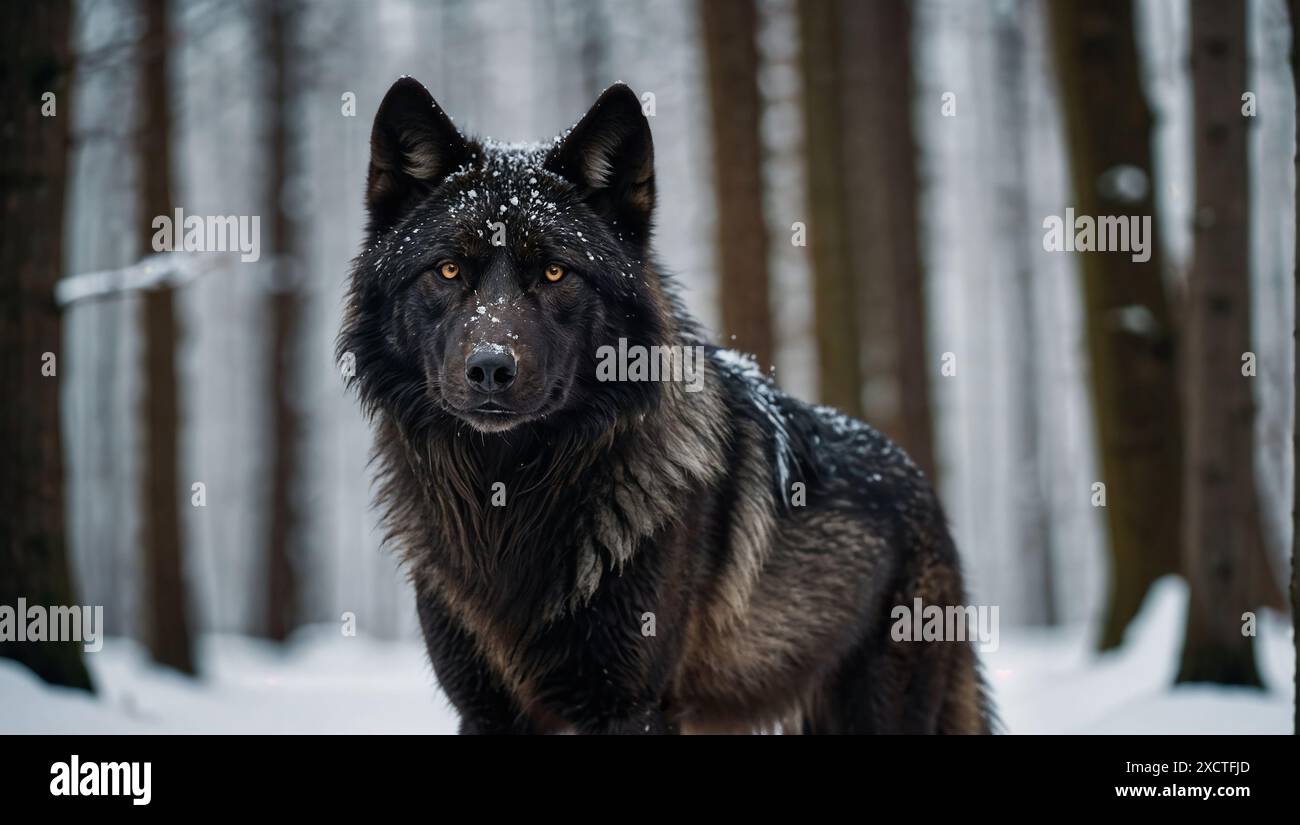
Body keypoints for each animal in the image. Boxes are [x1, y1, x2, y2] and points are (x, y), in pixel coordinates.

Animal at [339, 77, 994, 734]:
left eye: (555, 273)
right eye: (449, 270)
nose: (491, 368)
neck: (510, 497)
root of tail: (921, 486)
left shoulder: (632, 706)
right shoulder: (485, 712)